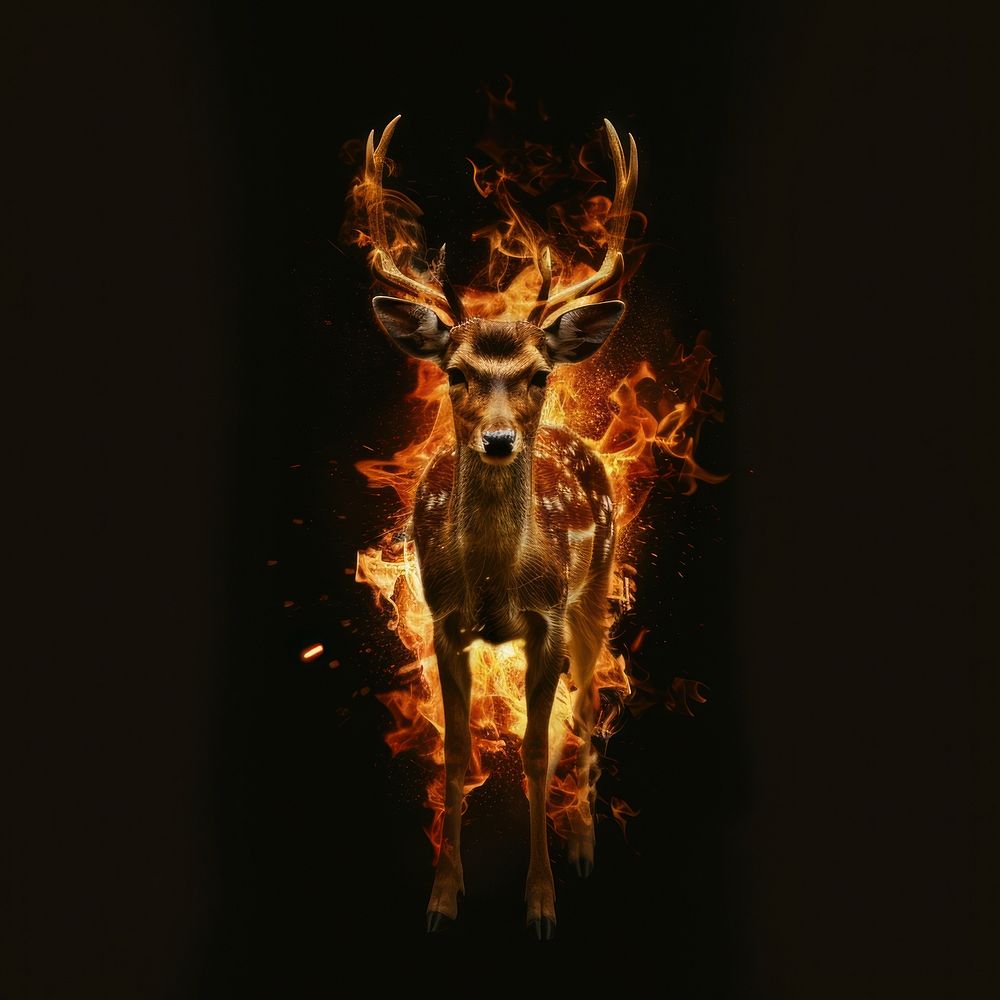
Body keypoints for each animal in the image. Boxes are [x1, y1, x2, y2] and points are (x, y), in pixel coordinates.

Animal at [361, 115, 637, 940]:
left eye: (538, 373)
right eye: (454, 371)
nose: (498, 439)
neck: (492, 581)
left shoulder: (546, 620)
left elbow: (536, 749)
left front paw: (542, 902)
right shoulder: (440, 620)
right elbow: (454, 754)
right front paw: (442, 897)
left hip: (596, 587)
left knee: (591, 700)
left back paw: (582, 845)